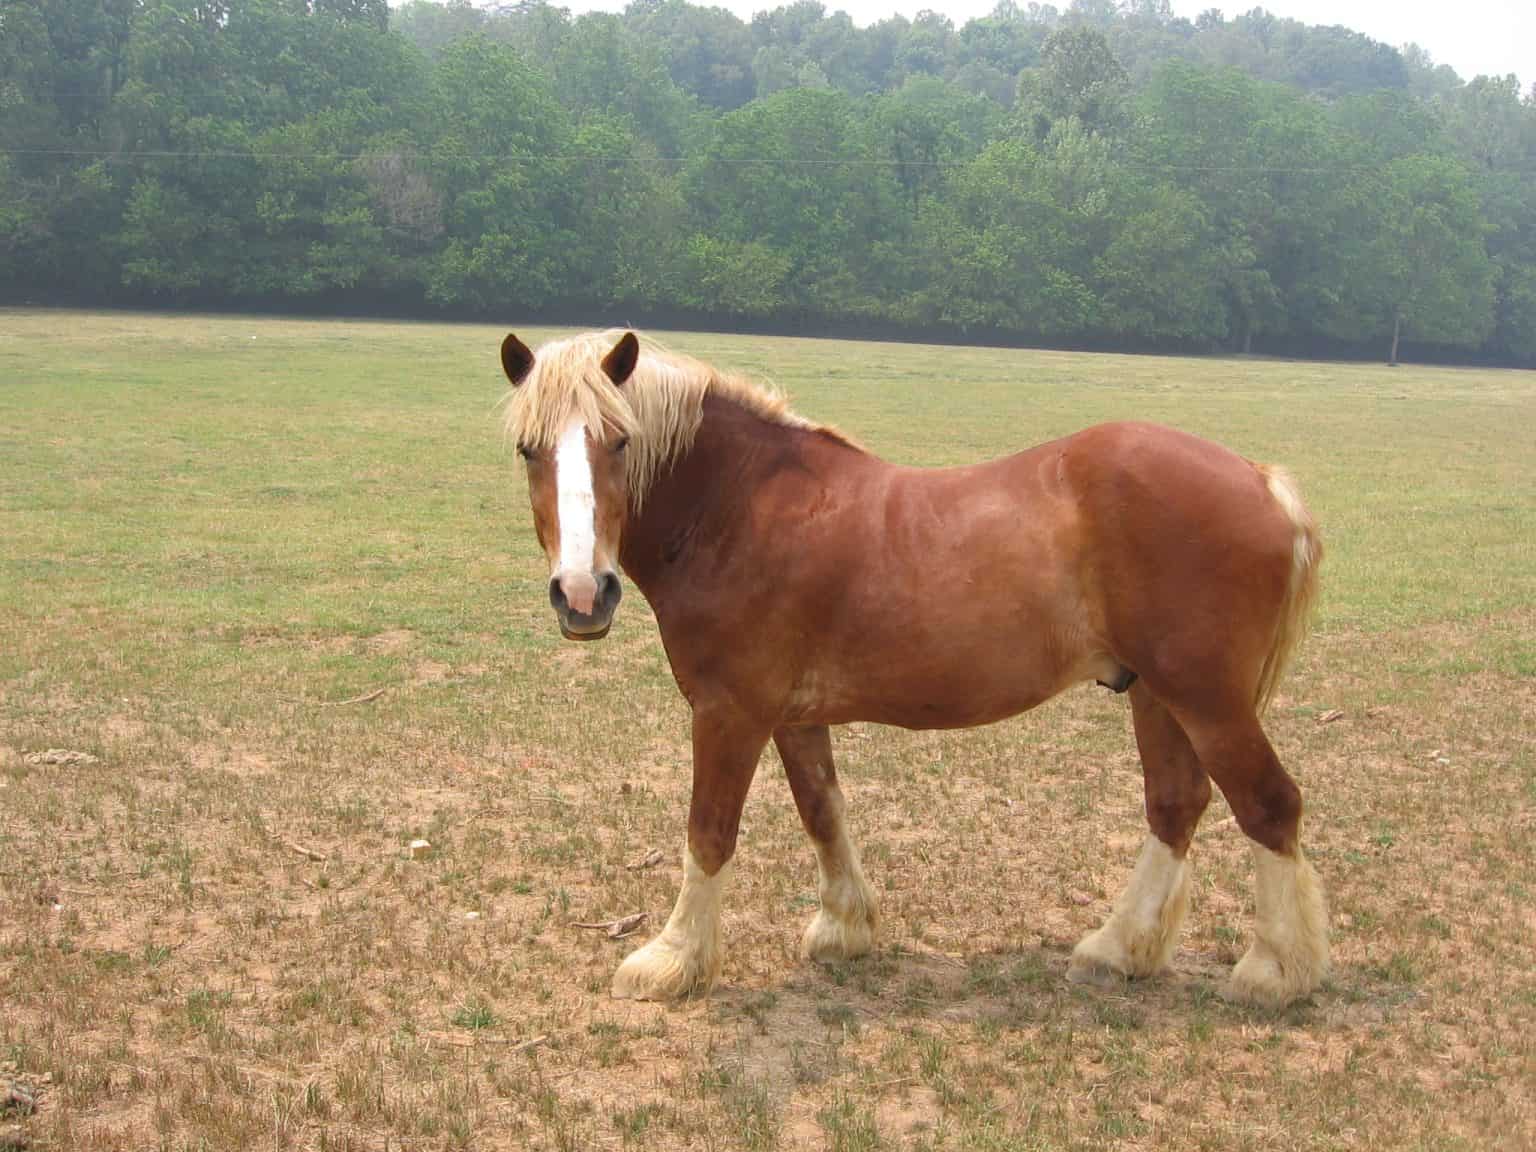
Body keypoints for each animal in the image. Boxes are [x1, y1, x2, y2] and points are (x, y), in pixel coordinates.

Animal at [499, 328, 1329, 1009]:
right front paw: (845, 926)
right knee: (1175, 805)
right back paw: (1118, 950)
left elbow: (709, 832)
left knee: (1269, 806)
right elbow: (823, 811)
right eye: (528, 448)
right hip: (1156, 694)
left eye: (620, 441)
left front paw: (672, 961)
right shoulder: (794, 717)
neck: (740, 511)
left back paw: (1272, 971)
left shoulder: (729, 712)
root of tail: (1259, 479)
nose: (583, 594)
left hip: (1207, 699)